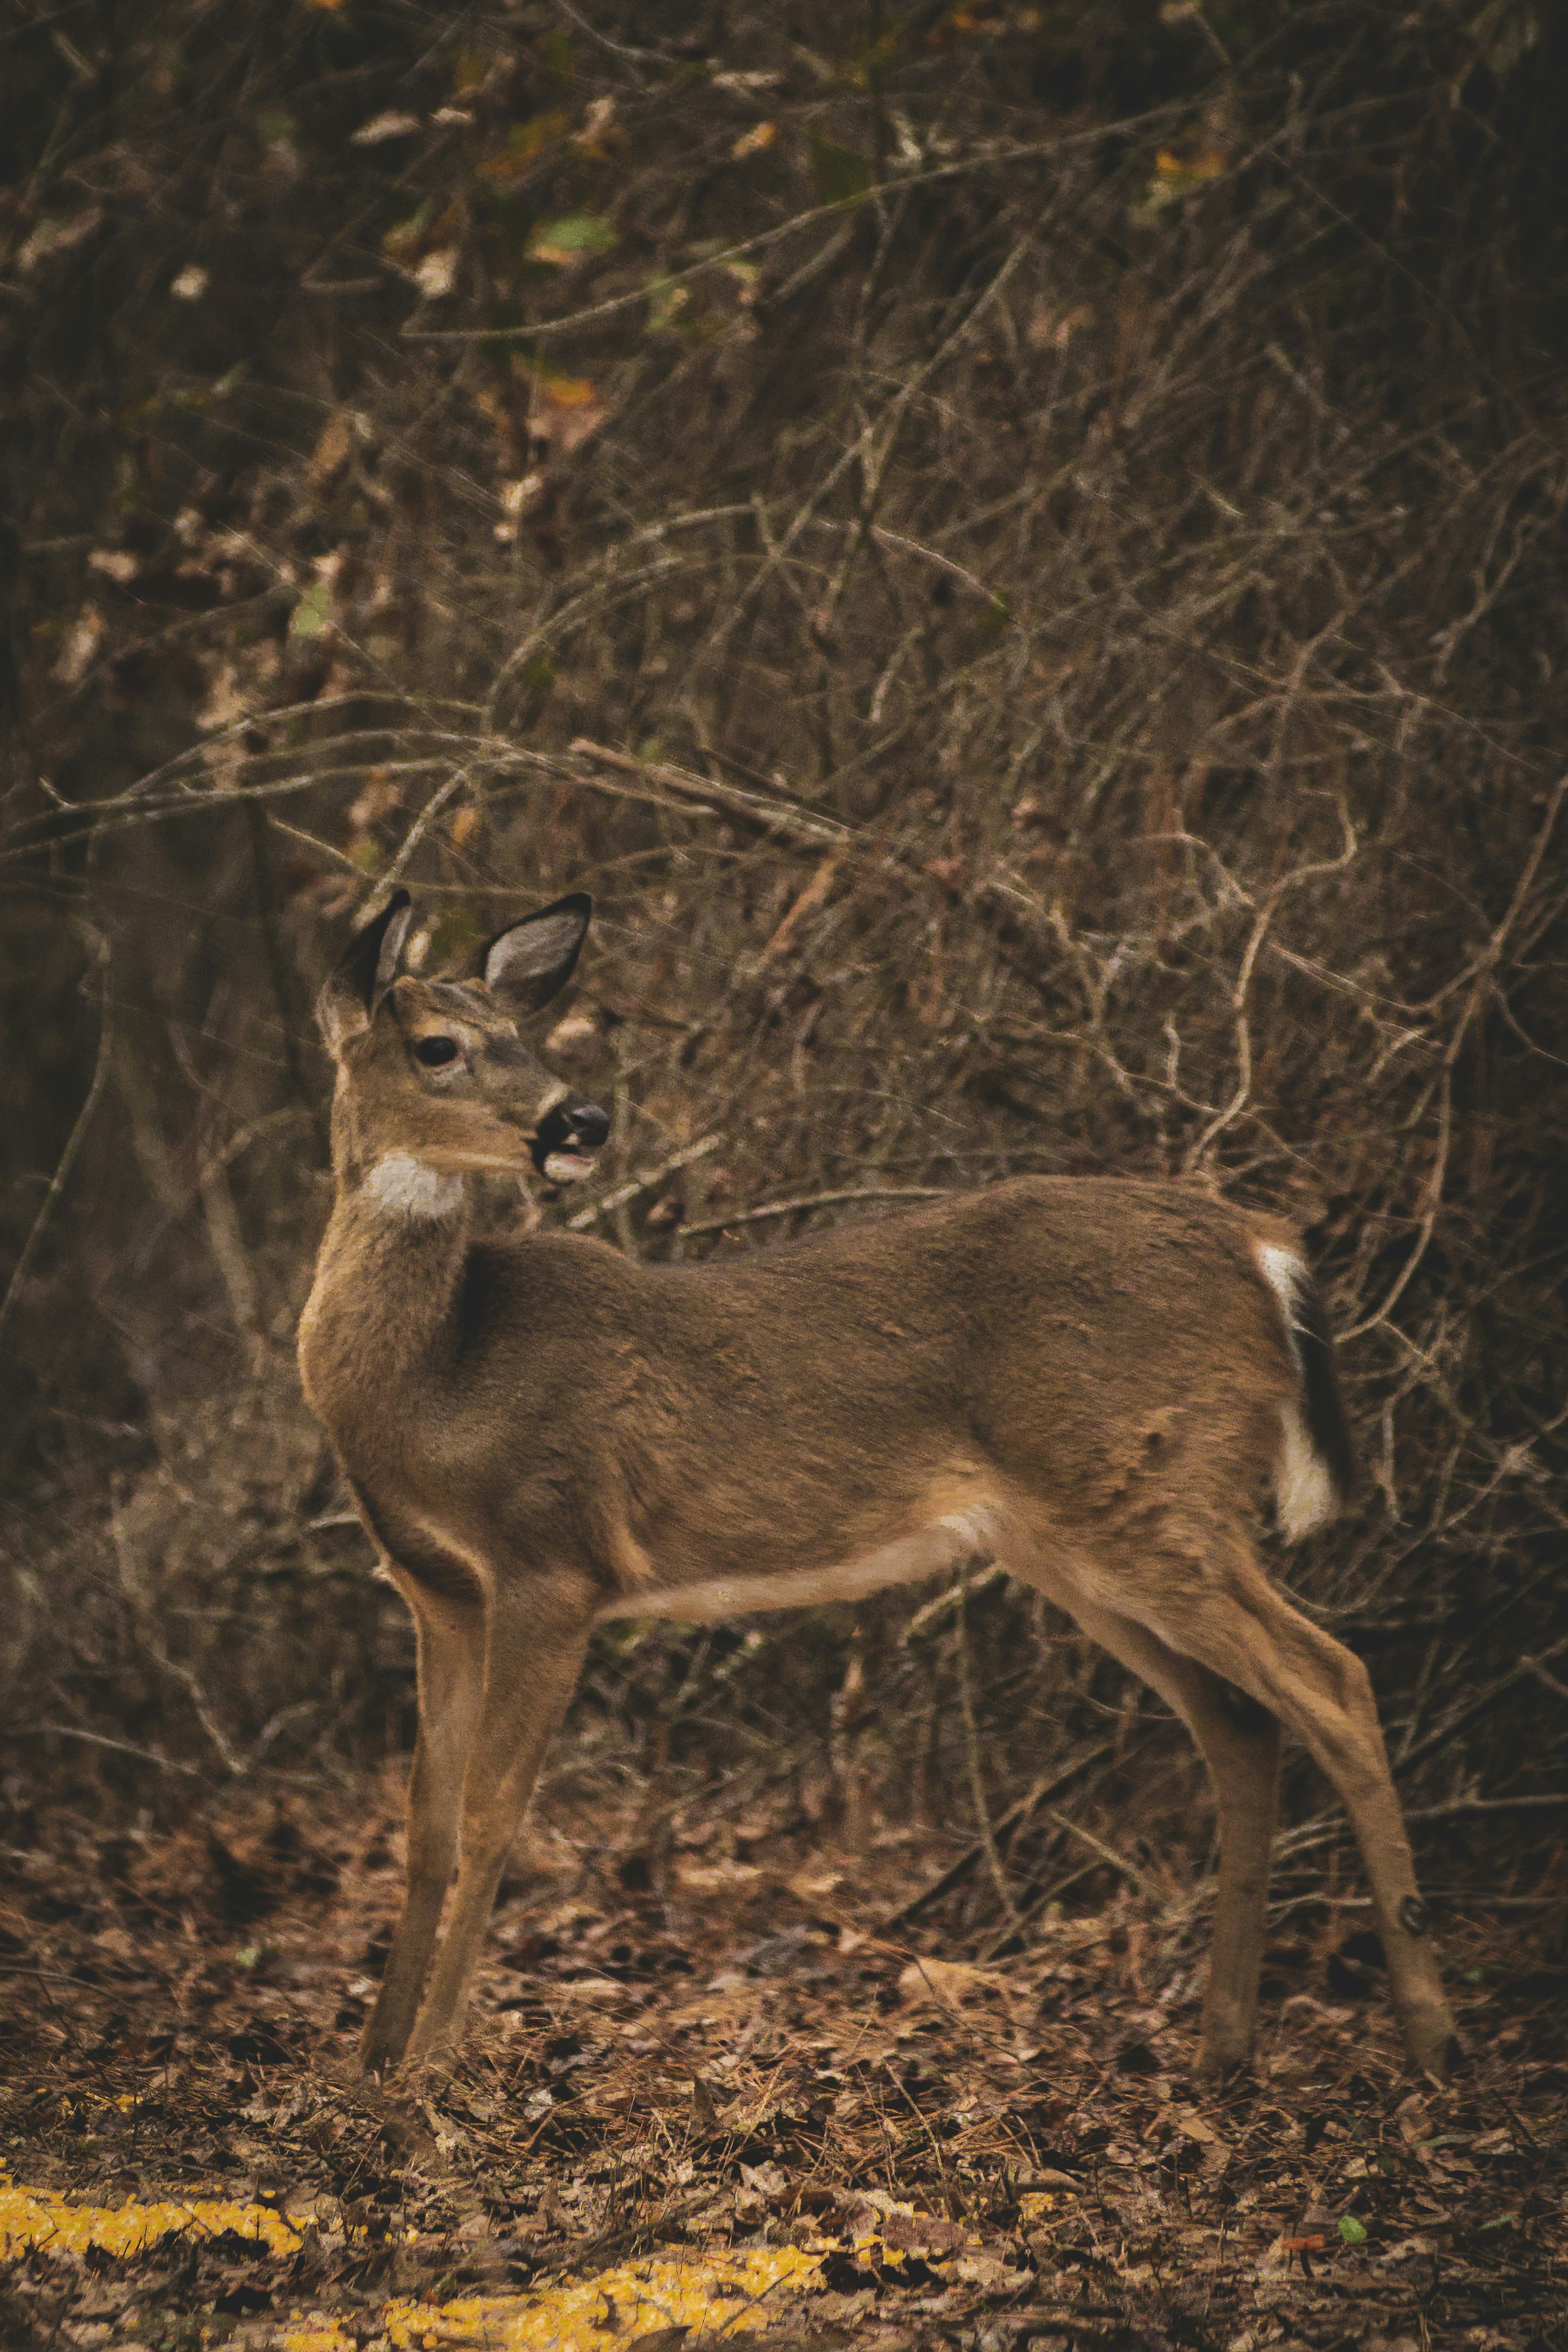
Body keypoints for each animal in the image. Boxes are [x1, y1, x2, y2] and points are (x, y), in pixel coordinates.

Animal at [298, 888, 1458, 2084]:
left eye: (522, 1034)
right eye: (440, 1046)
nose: (580, 1120)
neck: (437, 1383)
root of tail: (1265, 1246)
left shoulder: (552, 1560)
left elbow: (492, 1814)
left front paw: (432, 2063)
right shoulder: (437, 1590)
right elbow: (425, 1823)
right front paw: (369, 2062)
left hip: (1156, 1490)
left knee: (1332, 1680)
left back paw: (1431, 2037)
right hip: (1078, 1536)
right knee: (1240, 1721)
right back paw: (1220, 2049)